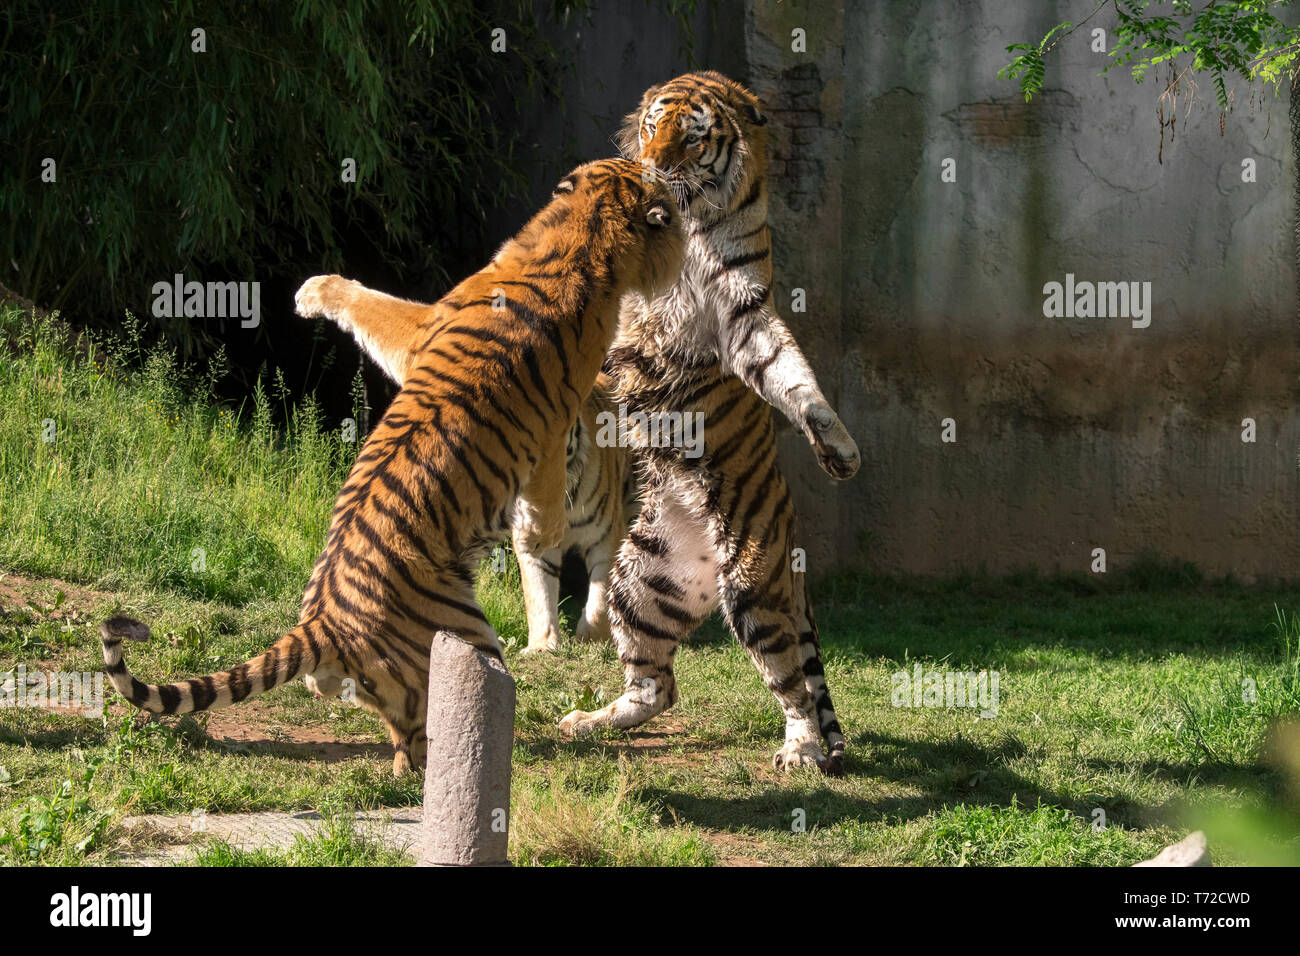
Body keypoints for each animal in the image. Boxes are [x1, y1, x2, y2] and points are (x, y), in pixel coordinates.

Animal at [300, 293, 637, 653]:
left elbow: (600, 597)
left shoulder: (606, 534)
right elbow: (539, 592)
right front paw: (542, 644)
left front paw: (591, 638)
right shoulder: (531, 539)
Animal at [557, 71, 862, 775]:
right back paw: (589, 722)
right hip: (643, 579)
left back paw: (802, 749)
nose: (652, 170)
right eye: (651, 128)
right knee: (657, 686)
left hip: (753, 584)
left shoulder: (744, 313)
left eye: (692, 138)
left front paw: (837, 447)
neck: (690, 222)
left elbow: (792, 374)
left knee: (792, 684)